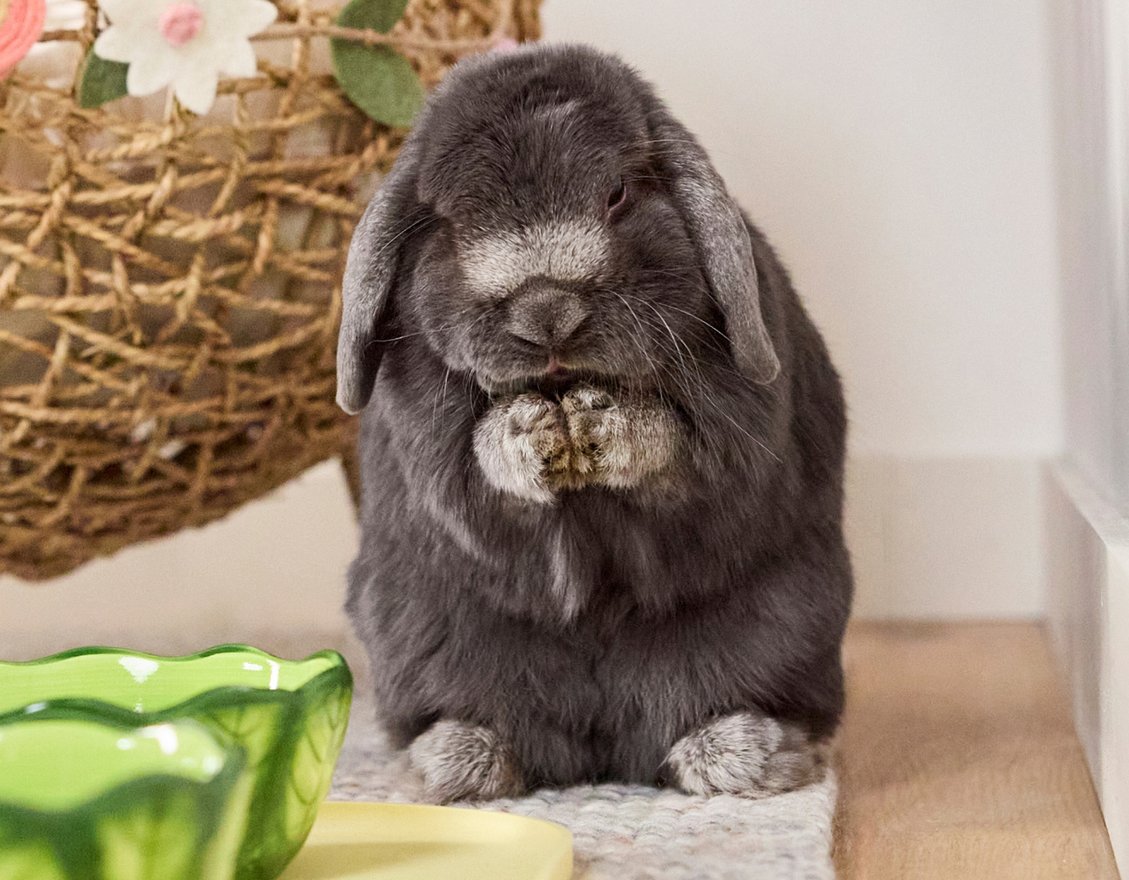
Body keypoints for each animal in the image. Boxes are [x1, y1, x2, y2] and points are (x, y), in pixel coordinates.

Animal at [336, 43, 852, 803]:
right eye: (451, 223)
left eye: (616, 196)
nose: (546, 311)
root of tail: (598, 749)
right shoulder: (431, 453)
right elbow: (476, 474)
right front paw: (535, 436)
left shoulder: (737, 440)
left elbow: (682, 462)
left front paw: (598, 428)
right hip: (418, 643)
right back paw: (457, 761)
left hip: (789, 627)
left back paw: (743, 753)